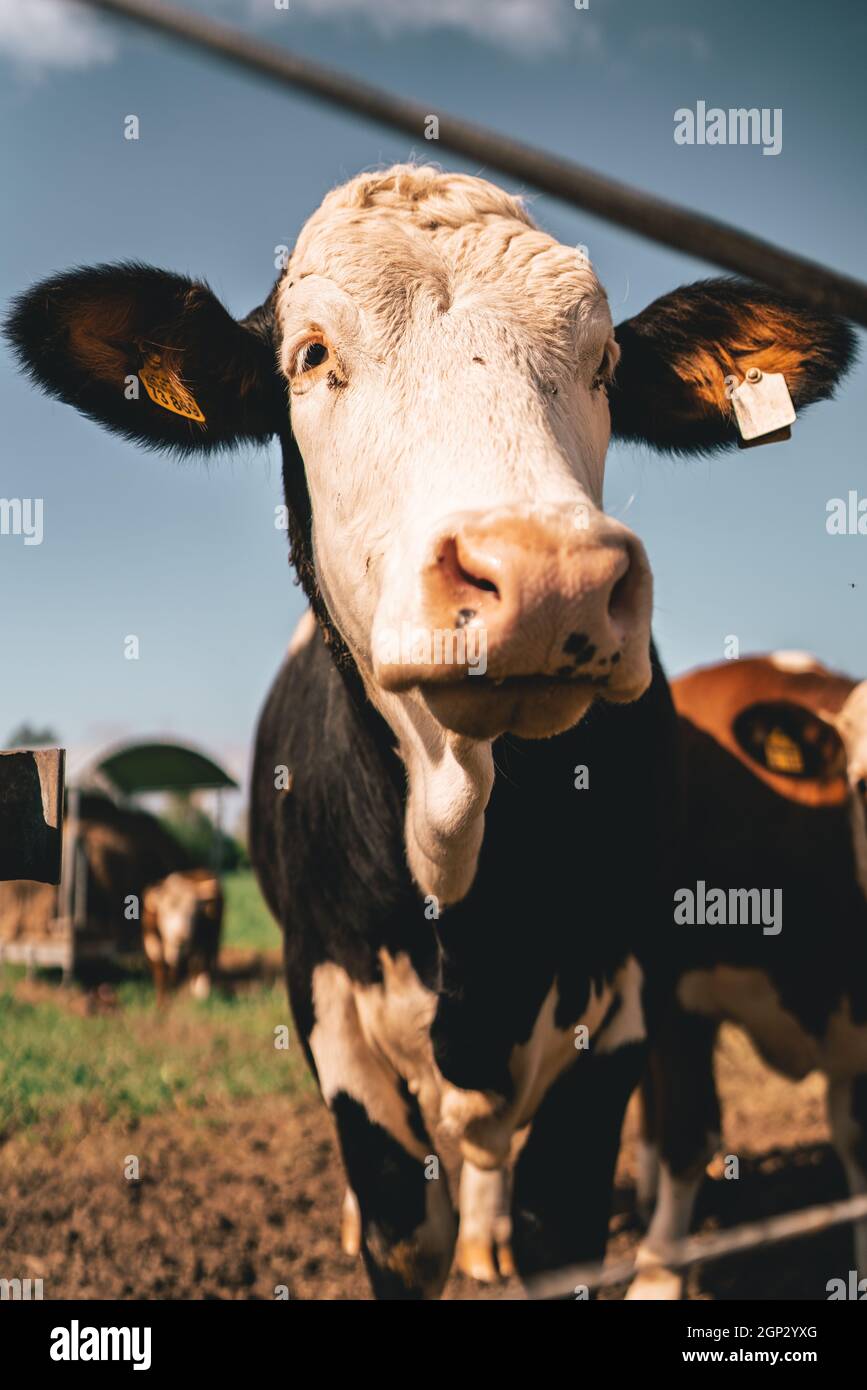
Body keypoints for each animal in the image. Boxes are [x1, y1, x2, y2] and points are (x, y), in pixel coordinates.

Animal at [142, 867, 223, 1002]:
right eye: (165, 911)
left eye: (194, 912)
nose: (181, 935)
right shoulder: (153, 945)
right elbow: (161, 973)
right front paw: (162, 1000)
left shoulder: (199, 945)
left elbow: (197, 965)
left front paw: (199, 996)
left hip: (213, 939)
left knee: (205, 964)